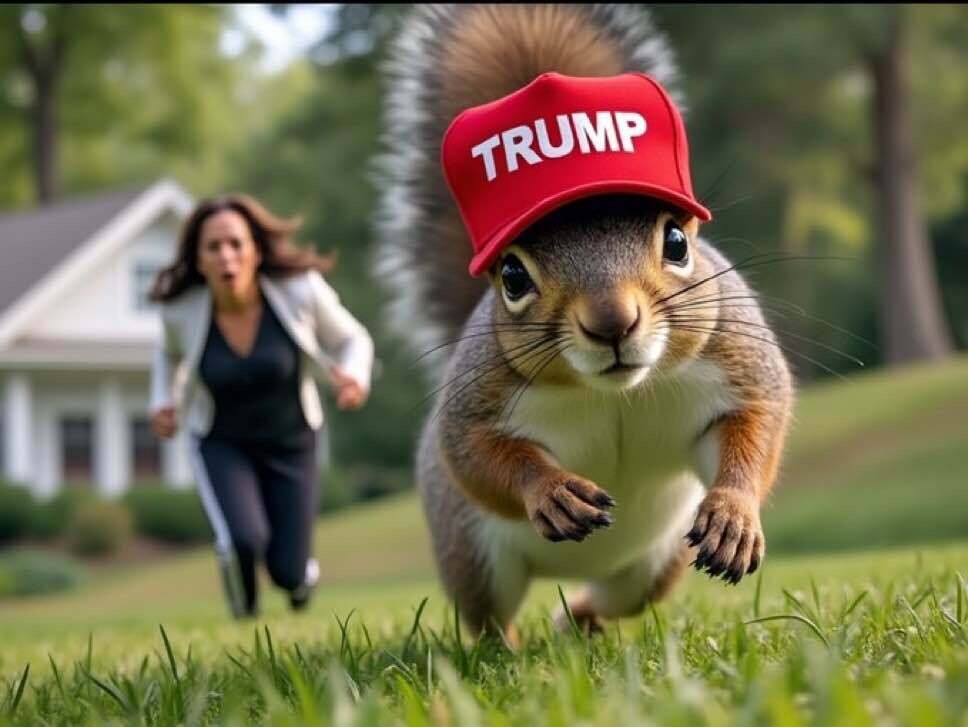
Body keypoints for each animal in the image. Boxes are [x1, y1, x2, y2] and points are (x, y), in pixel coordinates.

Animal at [374, 4, 793, 641]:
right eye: (512, 278)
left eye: (678, 242)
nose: (612, 322)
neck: (617, 392)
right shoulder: (478, 396)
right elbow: (474, 454)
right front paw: (551, 492)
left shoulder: (736, 360)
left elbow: (757, 424)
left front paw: (733, 515)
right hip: (470, 554)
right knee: (486, 616)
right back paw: (507, 648)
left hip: (654, 568)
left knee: (612, 600)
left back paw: (578, 621)